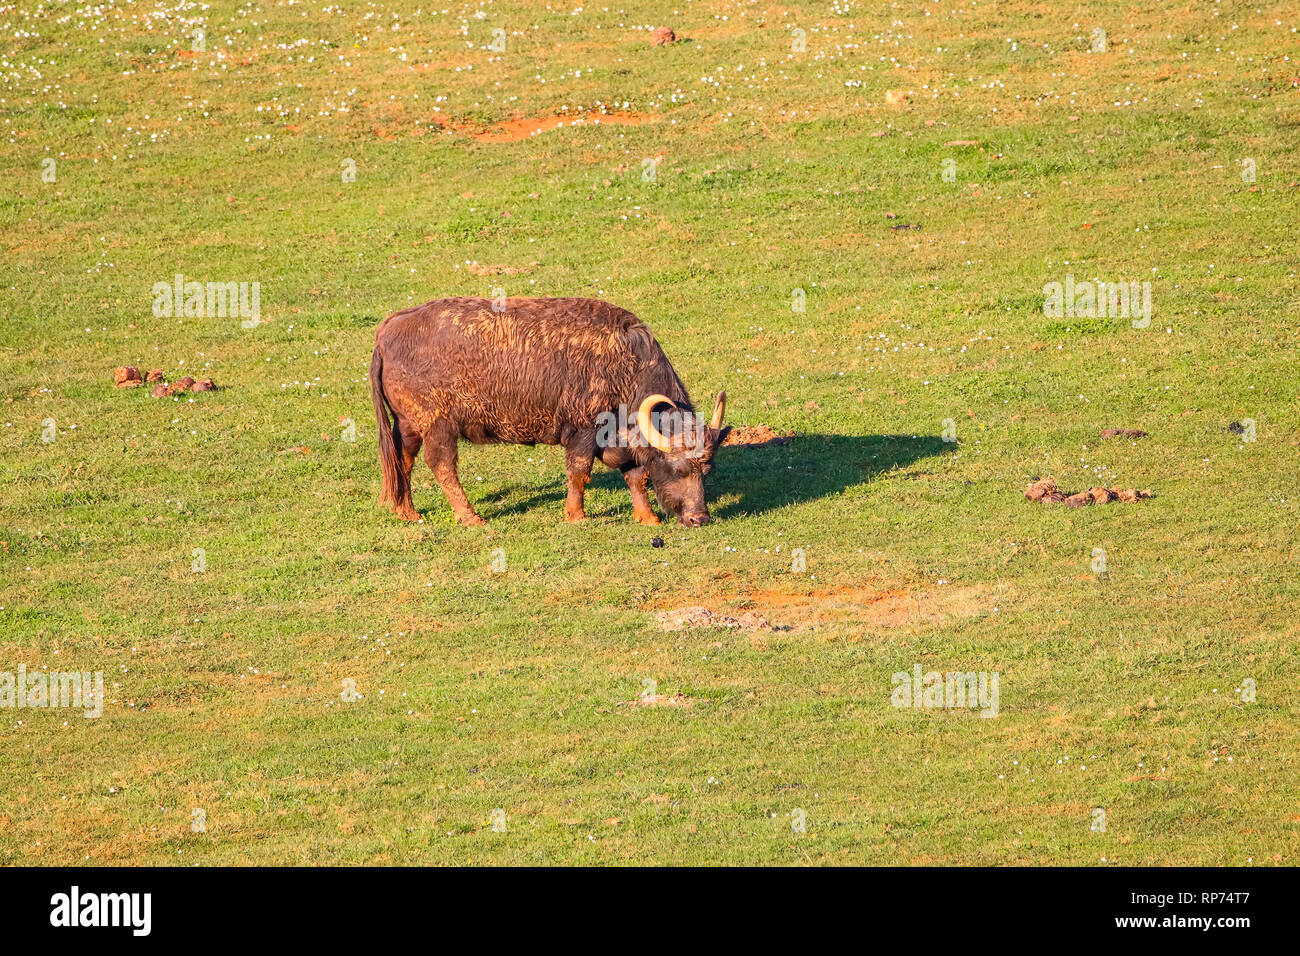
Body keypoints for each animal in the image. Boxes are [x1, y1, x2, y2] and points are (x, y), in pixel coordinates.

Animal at [369, 297, 729, 526]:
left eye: (707, 469)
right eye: (679, 468)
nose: (700, 518)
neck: (624, 365)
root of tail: (386, 333)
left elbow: (636, 477)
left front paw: (648, 518)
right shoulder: (584, 433)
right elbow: (579, 472)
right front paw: (576, 516)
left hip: (407, 425)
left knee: (402, 460)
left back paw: (408, 512)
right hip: (438, 426)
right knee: (441, 465)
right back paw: (472, 518)